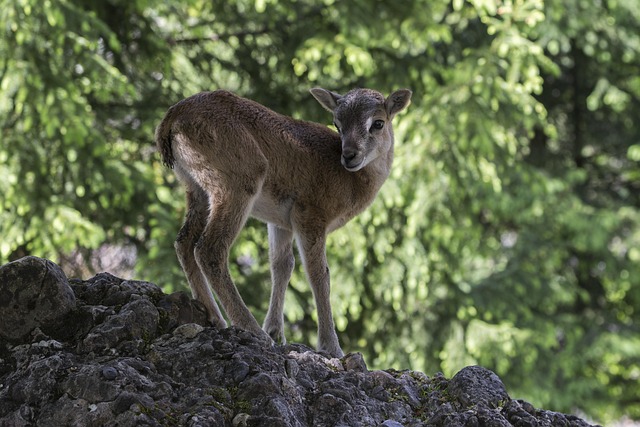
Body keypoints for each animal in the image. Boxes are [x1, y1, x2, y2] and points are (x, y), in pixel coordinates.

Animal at [155, 87, 412, 357]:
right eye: (337, 123)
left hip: (196, 189)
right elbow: (319, 273)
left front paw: (276, 332)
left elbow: (282, 265)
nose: (350, 155)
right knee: (209, 248)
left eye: (378, 123)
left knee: (183, 241)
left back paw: (216, 318)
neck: (351, 183)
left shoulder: (280, 221)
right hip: (238, 180)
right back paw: (251, 329)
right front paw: (331, 347)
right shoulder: (310, 213)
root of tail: (172, 119)